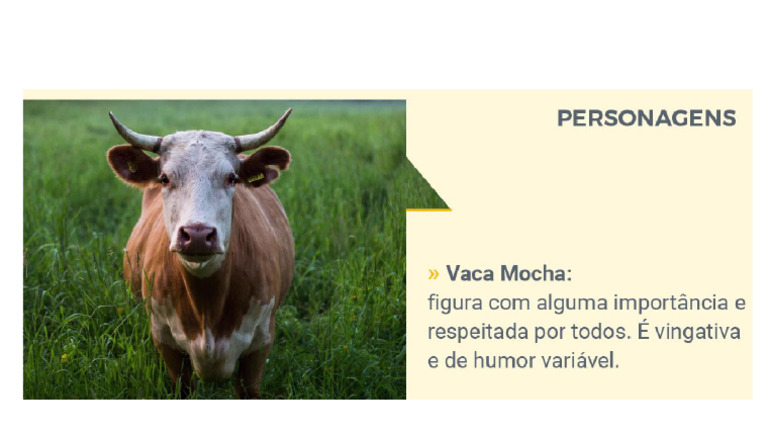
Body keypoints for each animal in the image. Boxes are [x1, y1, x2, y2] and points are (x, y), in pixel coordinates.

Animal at [106, 109, 295, 398]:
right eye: (165, 178)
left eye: (232, 178)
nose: (197, 234)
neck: (207, 307)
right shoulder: (166, 343)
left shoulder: (260, 345)